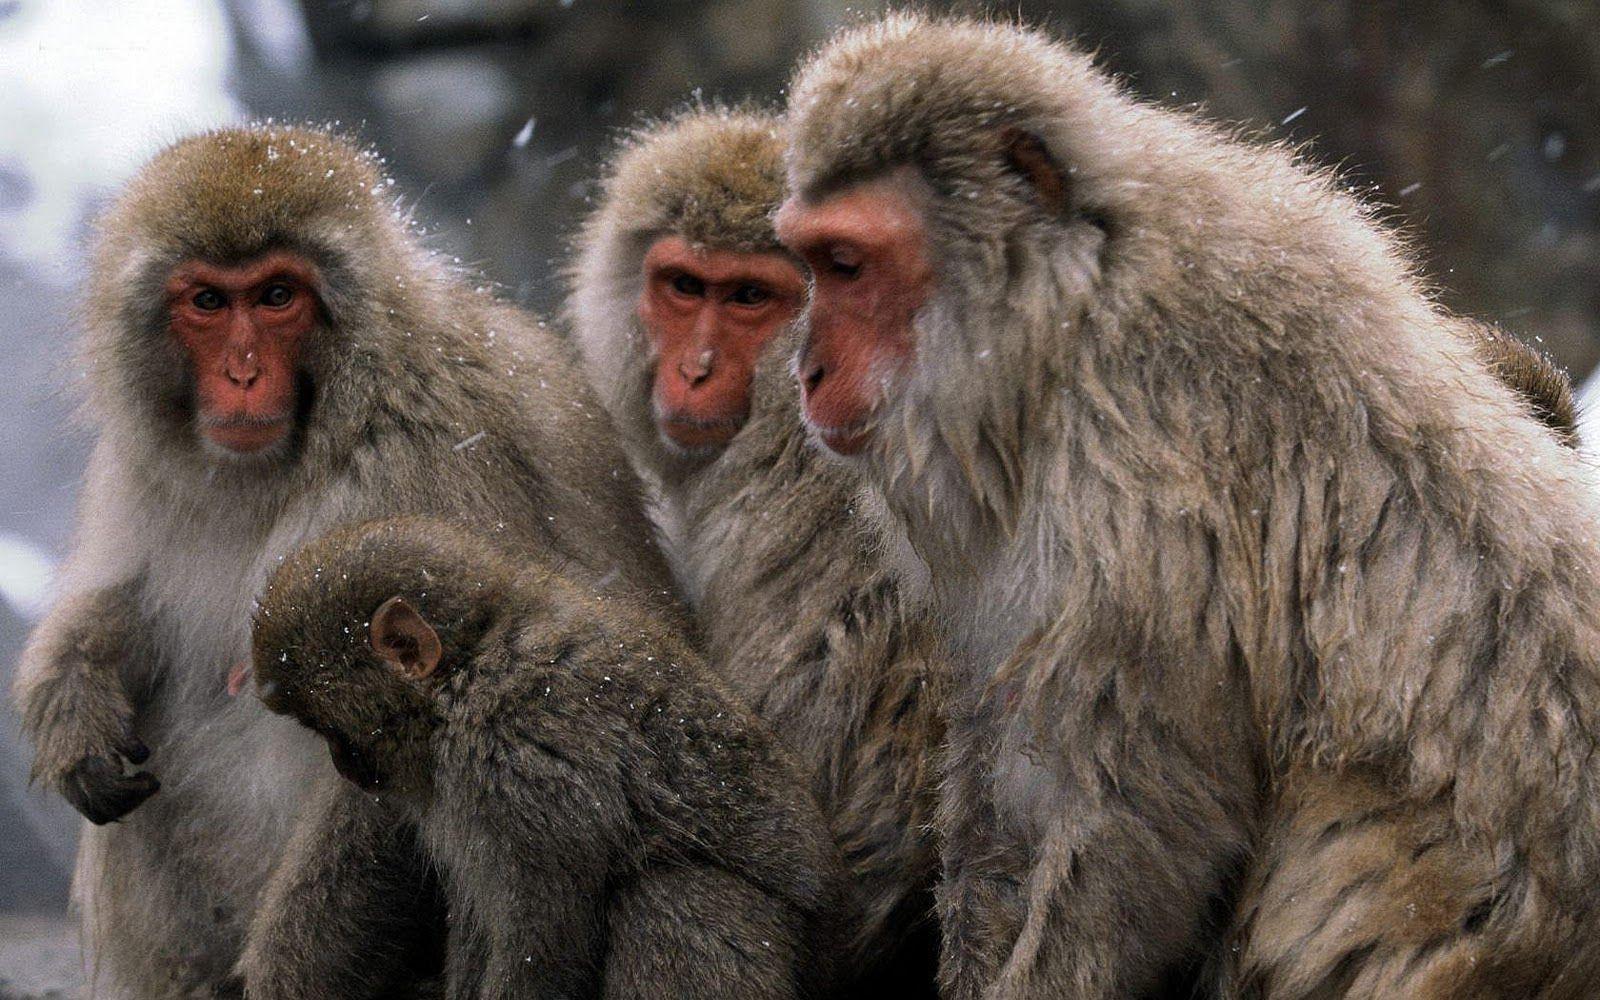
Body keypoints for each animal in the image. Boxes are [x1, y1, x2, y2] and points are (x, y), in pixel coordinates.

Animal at [11, 123, 674, 999]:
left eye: (277, 297)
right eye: (209, 303)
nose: (243, 373)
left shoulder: (422, 460)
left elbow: (398, 742)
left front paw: (284, 976)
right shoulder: (145, 471)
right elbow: (132, 605)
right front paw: (71, 702)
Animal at [244, 516, 840, 1000]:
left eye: (328, 729)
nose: (342, 765)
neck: (466, 670)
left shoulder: (520, 771)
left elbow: (546, 936)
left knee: (676, 892)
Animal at [777, 14, 1600, 998]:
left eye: (847, 266)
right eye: (810, 264)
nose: (807, 368)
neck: (1069, 308)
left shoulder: (1132, 484)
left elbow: (1136, 812)